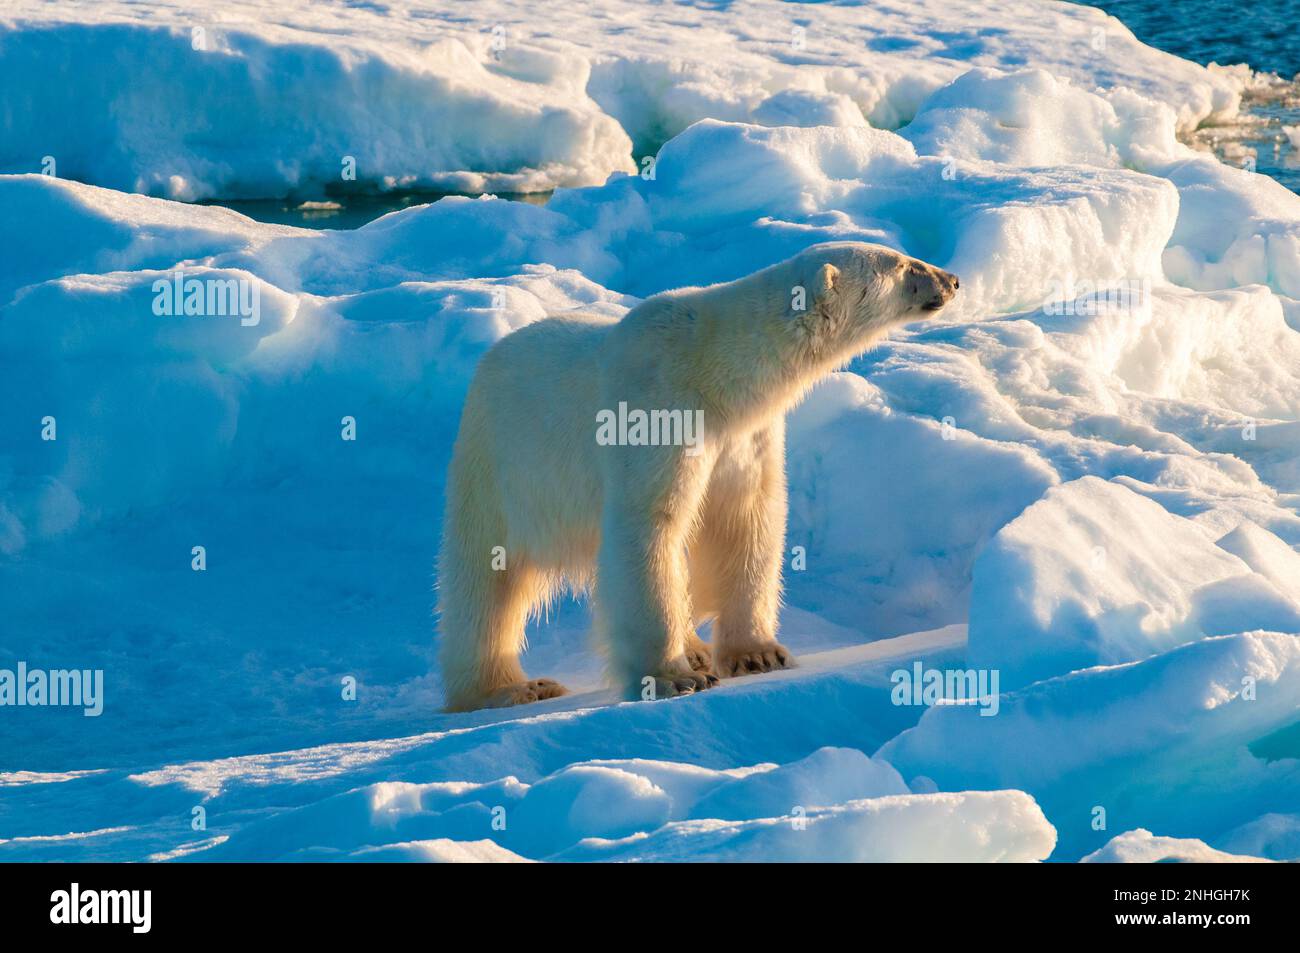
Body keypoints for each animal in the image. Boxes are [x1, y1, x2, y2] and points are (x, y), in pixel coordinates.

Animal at [437, 241, 959, 711]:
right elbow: (650, 525)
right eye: (902, 264)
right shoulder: (655, 410)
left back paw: (696, 648)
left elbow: (745, 519)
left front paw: (757, 655)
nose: (952, 280)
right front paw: (673, 679)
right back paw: (512, 687)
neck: (714, 372)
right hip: (500, 464)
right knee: (487, 579)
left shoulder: (744, 435)